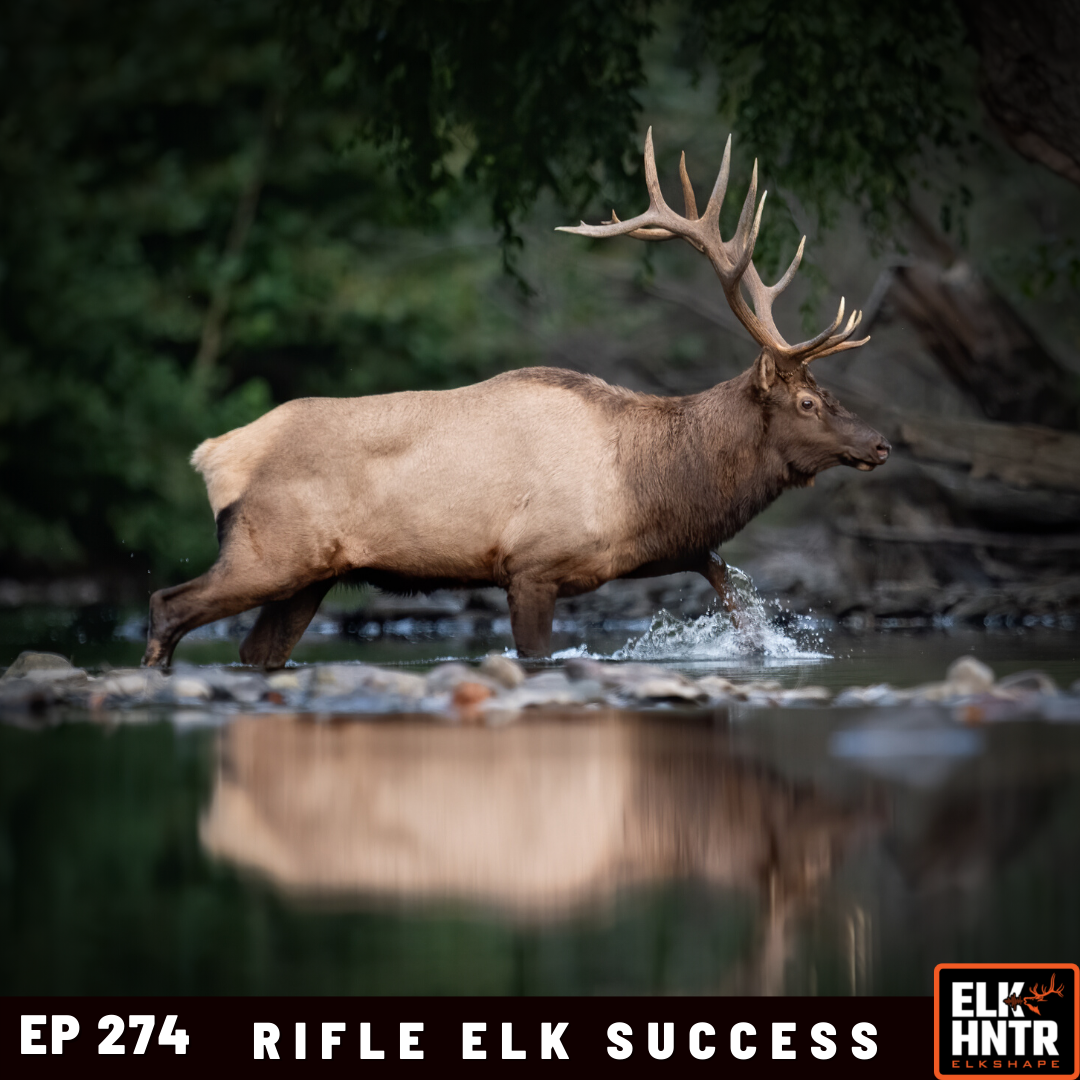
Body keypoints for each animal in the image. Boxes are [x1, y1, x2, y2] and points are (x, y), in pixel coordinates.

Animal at [142, 128, 889, 669]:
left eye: (824, 394)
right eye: (807, 404)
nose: (880, 443)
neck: (650, 481)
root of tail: (215, 454)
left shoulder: (656, 549)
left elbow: (728, 584)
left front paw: (760, 645)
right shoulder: (534, 566)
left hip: (308, 577)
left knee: (254, 650)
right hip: (268, 551)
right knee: (166, 604)